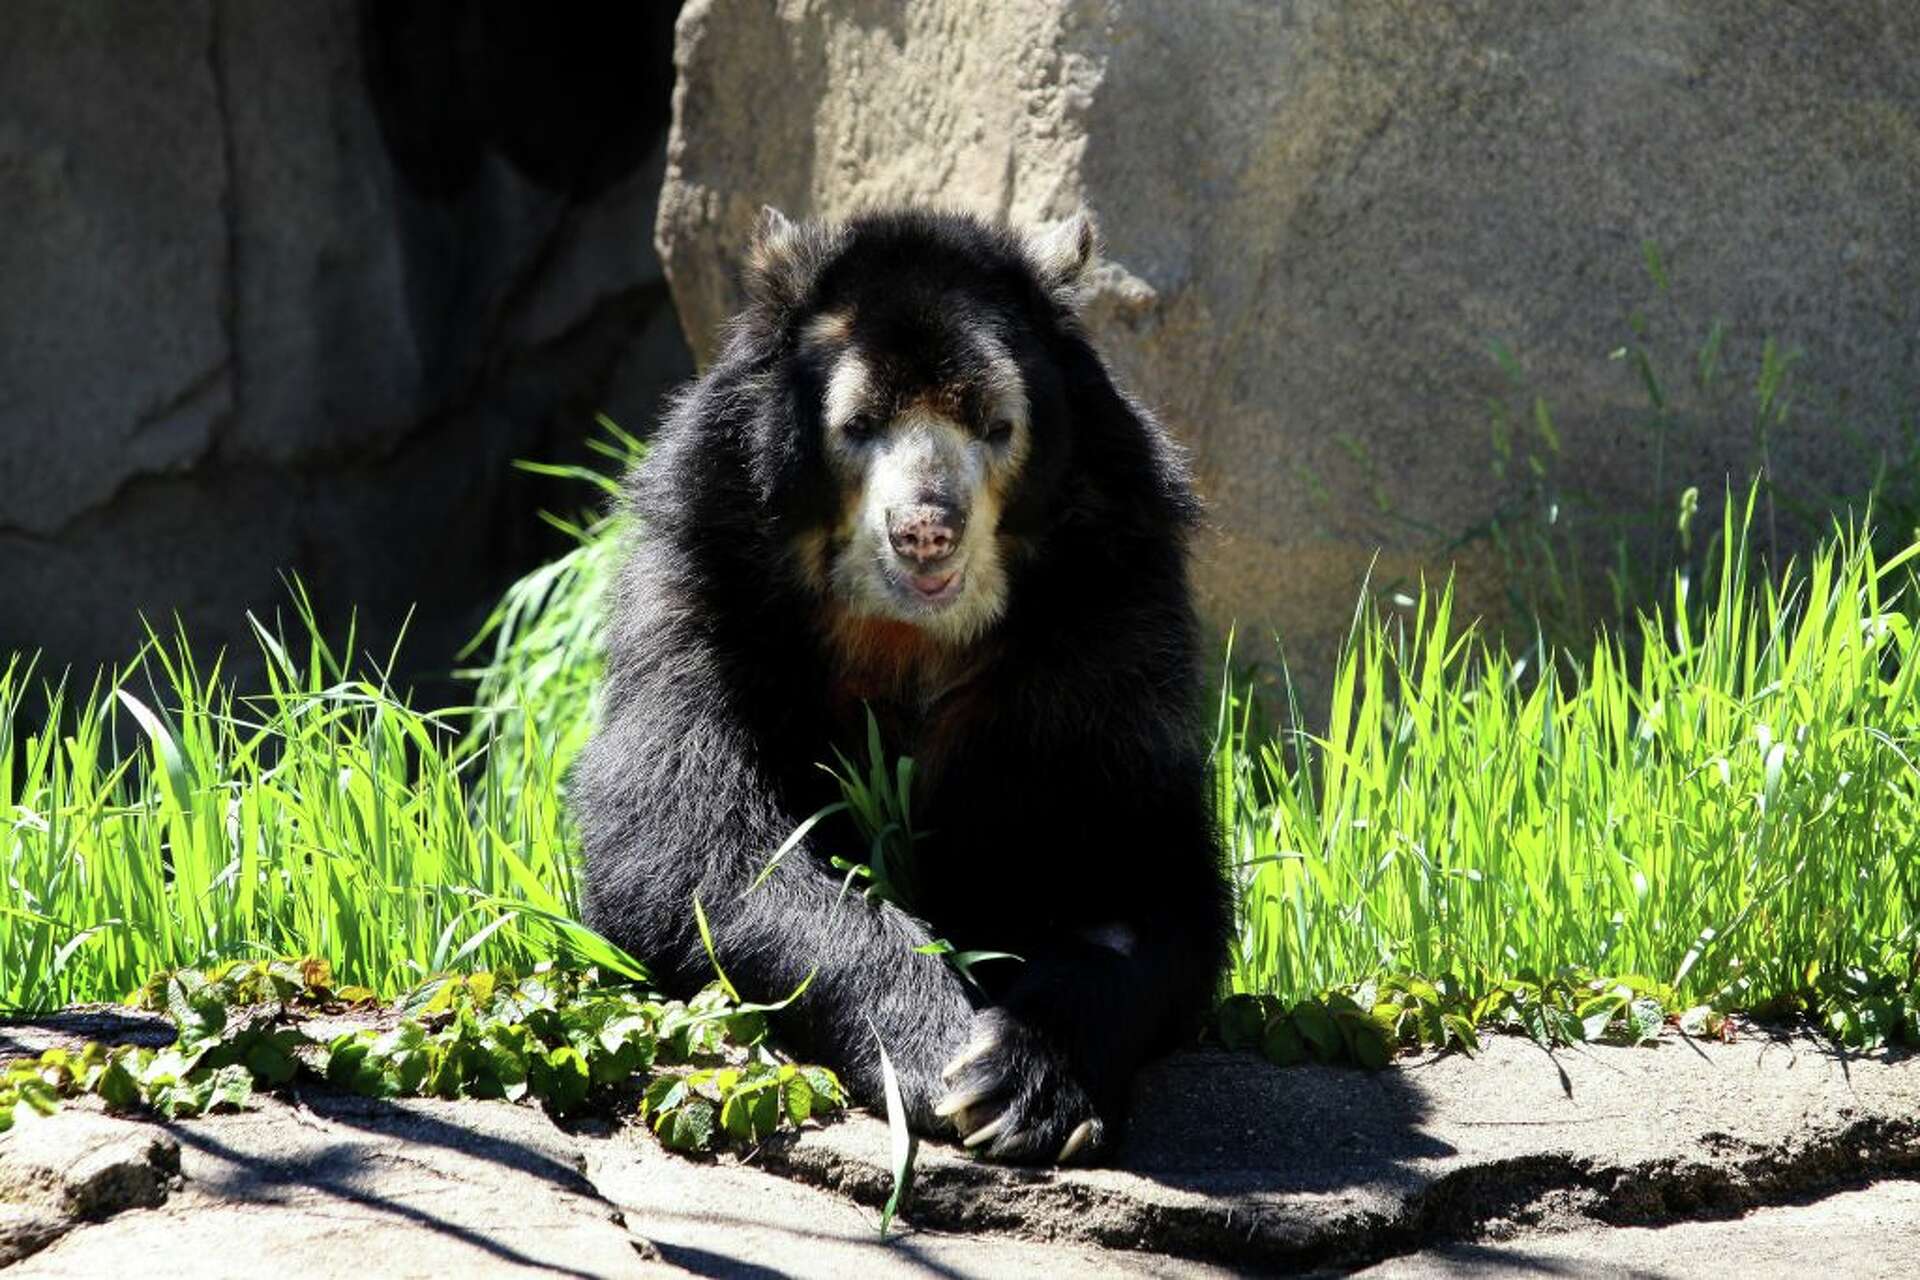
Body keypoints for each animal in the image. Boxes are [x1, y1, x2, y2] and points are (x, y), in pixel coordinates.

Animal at [573, 206, 1229, 1165]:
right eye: (859, 424)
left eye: (995, 424)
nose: (925, 530)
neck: (903, 635)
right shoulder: (701, 596)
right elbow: (691, 838)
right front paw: (934, 1047)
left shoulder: (1106, 638)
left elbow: (1135, 877)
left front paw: (1018, 1081)